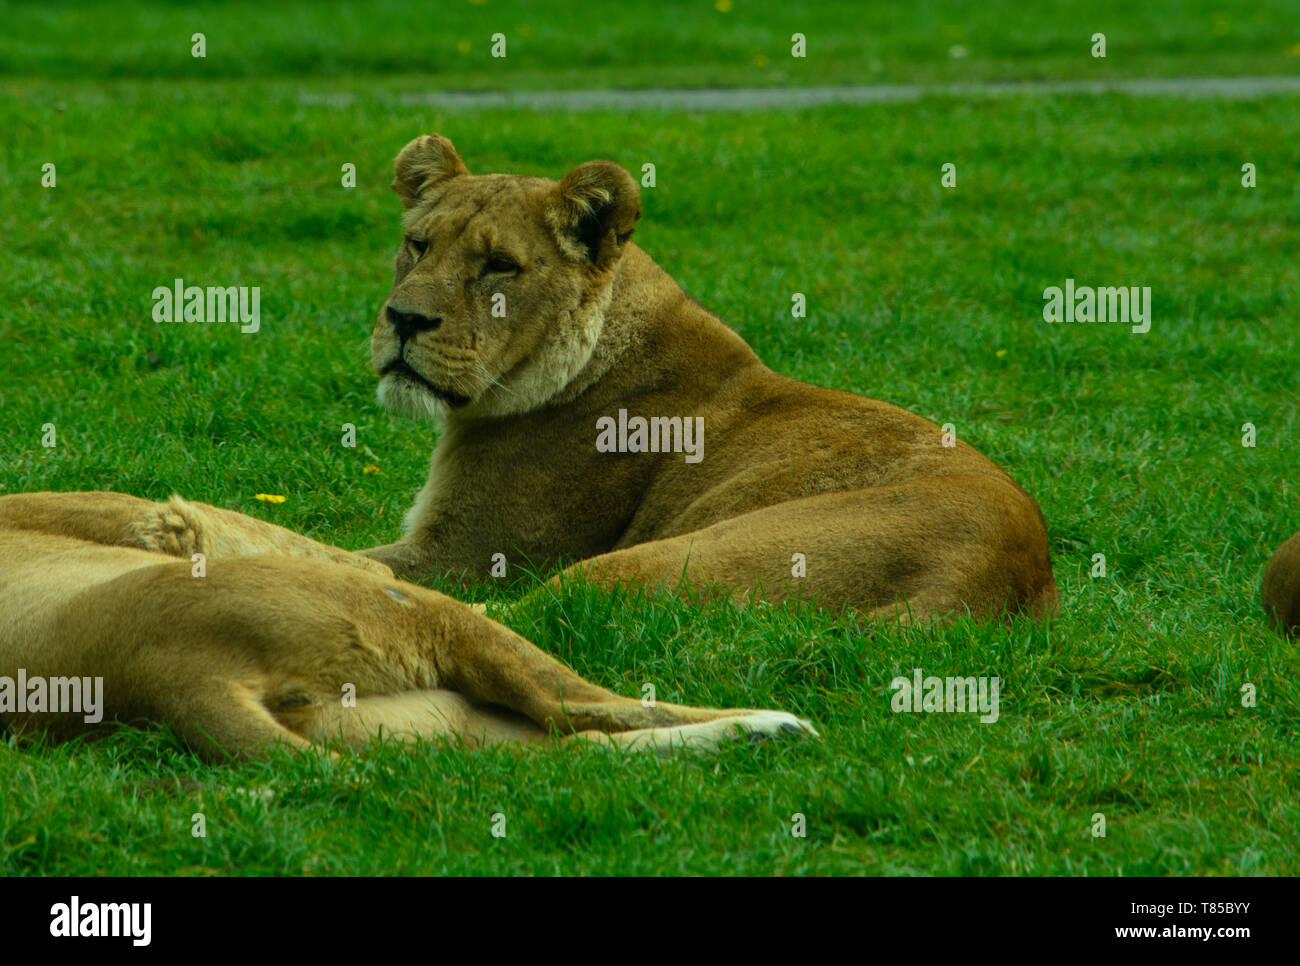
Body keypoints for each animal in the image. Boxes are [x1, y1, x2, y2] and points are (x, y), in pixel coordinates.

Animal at [0, 491, 815, 759]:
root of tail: (169, 677)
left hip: (433, 722)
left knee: (565, 754)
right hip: (424, 625)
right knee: (582, 710)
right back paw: (779, 725)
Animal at [361, 134, 1058, 623]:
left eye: (500, 266)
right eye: (418, 245)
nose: (404, 319)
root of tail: (1001, 578)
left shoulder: (468, 554)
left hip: (681, 552)